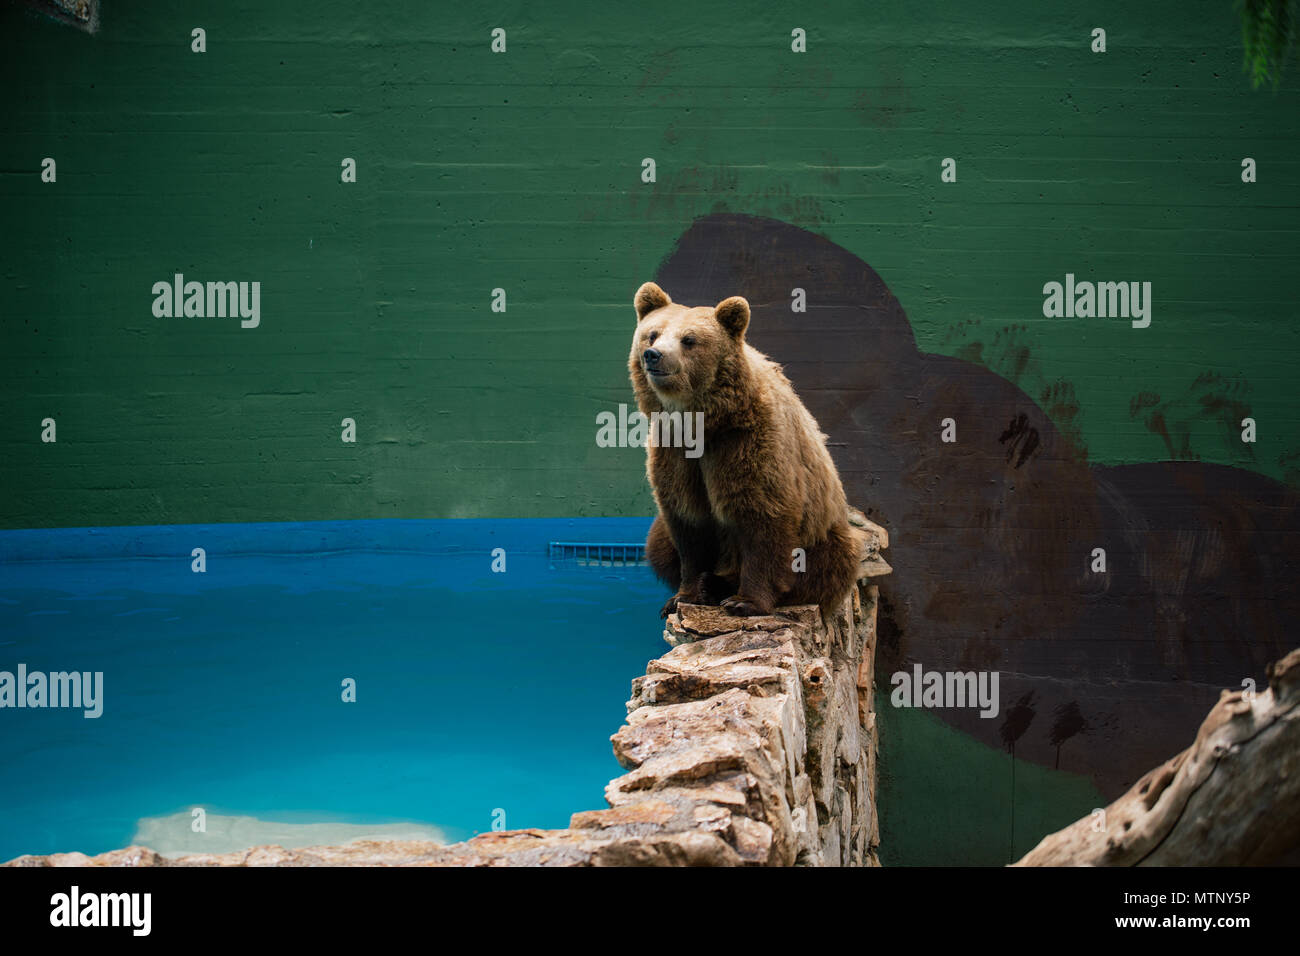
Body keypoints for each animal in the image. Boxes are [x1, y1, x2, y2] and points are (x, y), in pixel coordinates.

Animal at [629, 280, 862, 620]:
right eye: (653, 333)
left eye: (689, 340)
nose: (653, 355)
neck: (704, 423)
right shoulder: (675, 451)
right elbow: (687, 523)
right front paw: (683, 595)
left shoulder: (747, 443)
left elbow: (762, 517)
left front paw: (744, 601)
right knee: (657, 542)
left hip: (824, 534)